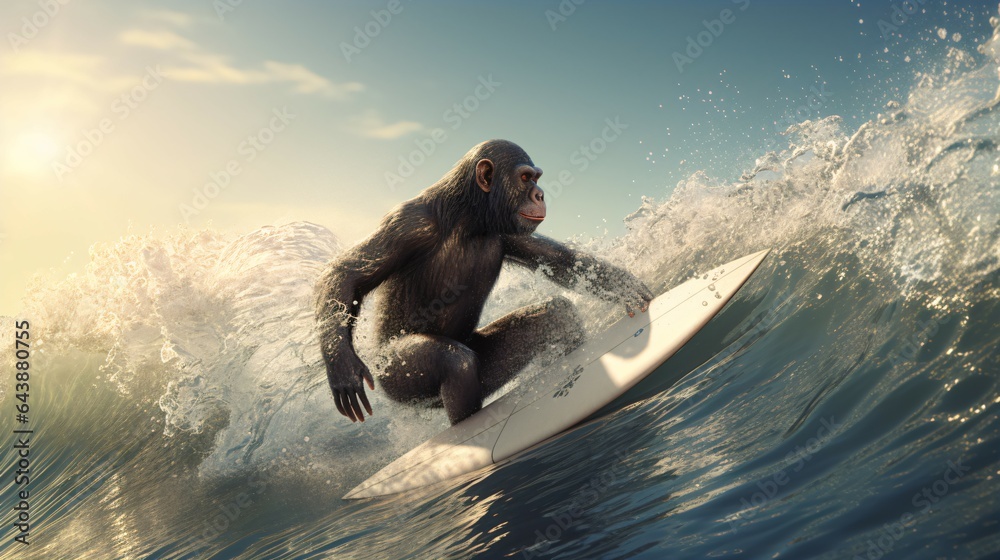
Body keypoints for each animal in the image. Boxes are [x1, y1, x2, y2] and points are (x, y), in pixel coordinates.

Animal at [316, 140, 653, 425]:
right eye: (526, 178)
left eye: (537, 177)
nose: (540, 194)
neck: (468, 218)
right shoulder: (409, 224)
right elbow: (348, 275)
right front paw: (342, 369)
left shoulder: (509, 229)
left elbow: (560, 260)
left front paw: (624, 286)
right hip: (395, 378)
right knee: (456, 362)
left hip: (488, 372)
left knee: (555, 315)